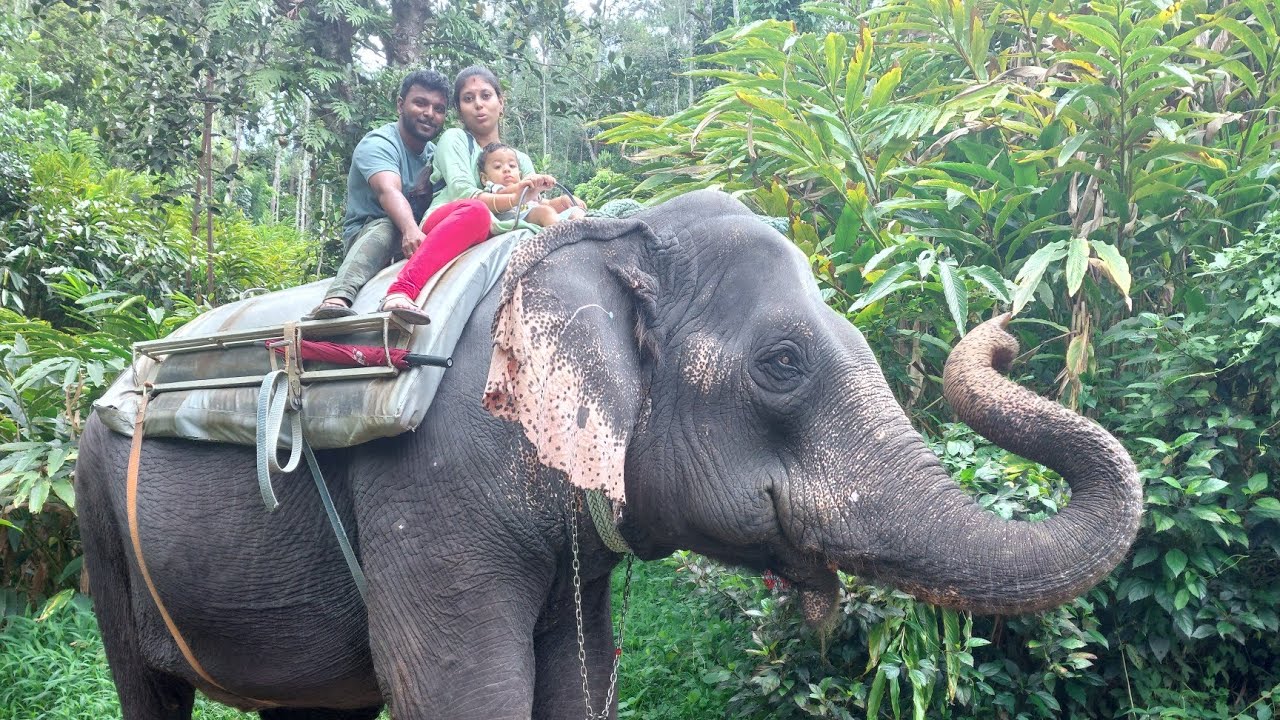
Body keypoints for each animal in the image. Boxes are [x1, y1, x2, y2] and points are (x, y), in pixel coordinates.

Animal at [74, 189, 1143, 720]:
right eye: (784, 364)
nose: (1007, 332)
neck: (598, 242)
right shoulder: (431, 484)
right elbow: (462, 692)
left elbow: (577, 683)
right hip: (99, 521)